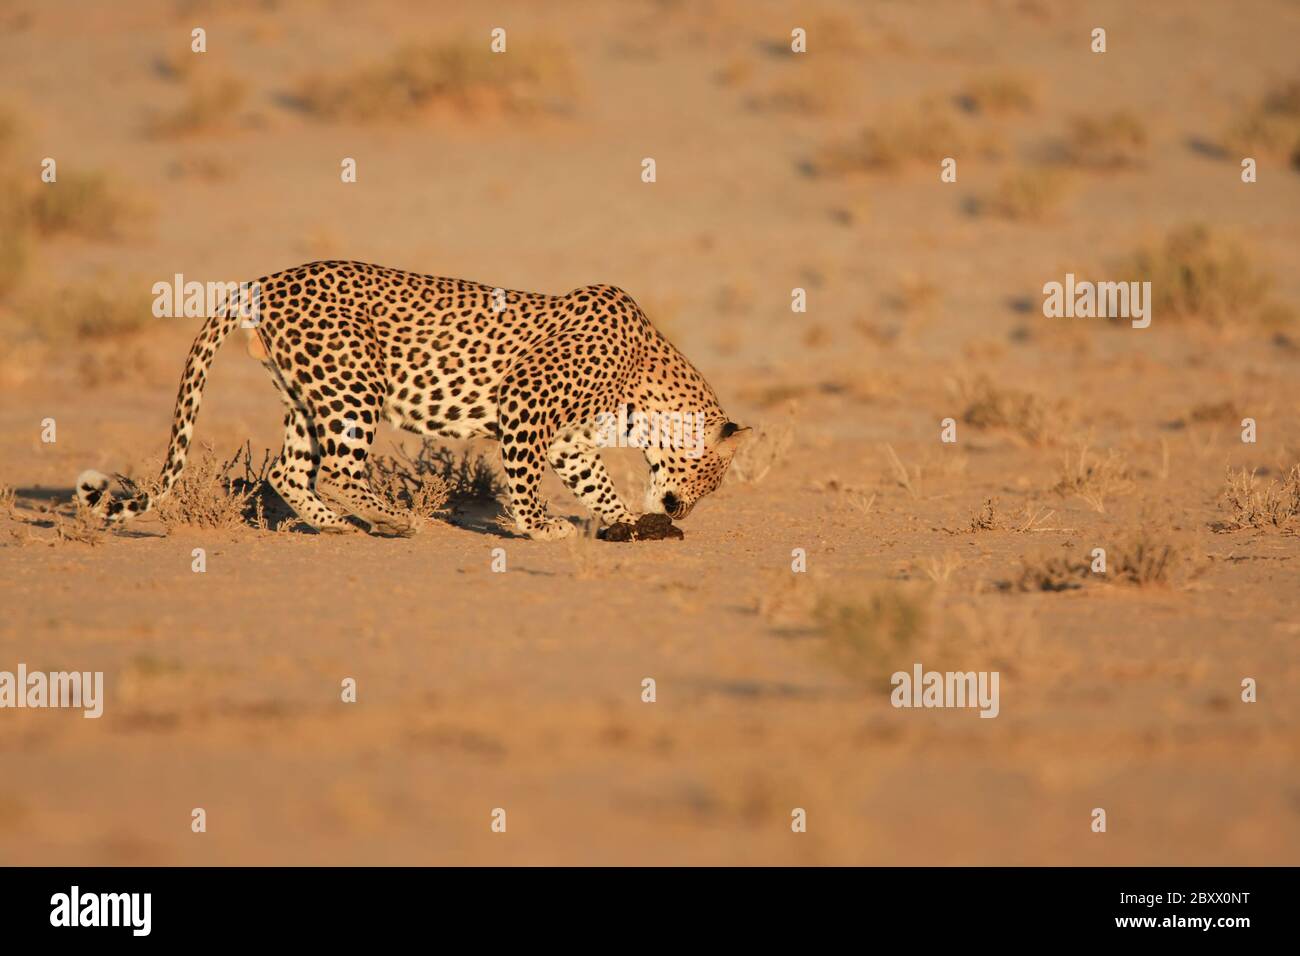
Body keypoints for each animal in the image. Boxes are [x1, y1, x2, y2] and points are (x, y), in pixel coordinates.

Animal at [76, 261, 749, 540]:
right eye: (711, 479)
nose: (685, 510)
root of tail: (265, 280)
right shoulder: (525, 408)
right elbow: (526, 482)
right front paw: (541, 527)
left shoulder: (569, 441)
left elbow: (597, 485)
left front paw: (629, 521)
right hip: (354, 386)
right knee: (340, 470)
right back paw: (396, 518)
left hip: (309, 396)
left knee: (289, 470)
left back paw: (337, 524)